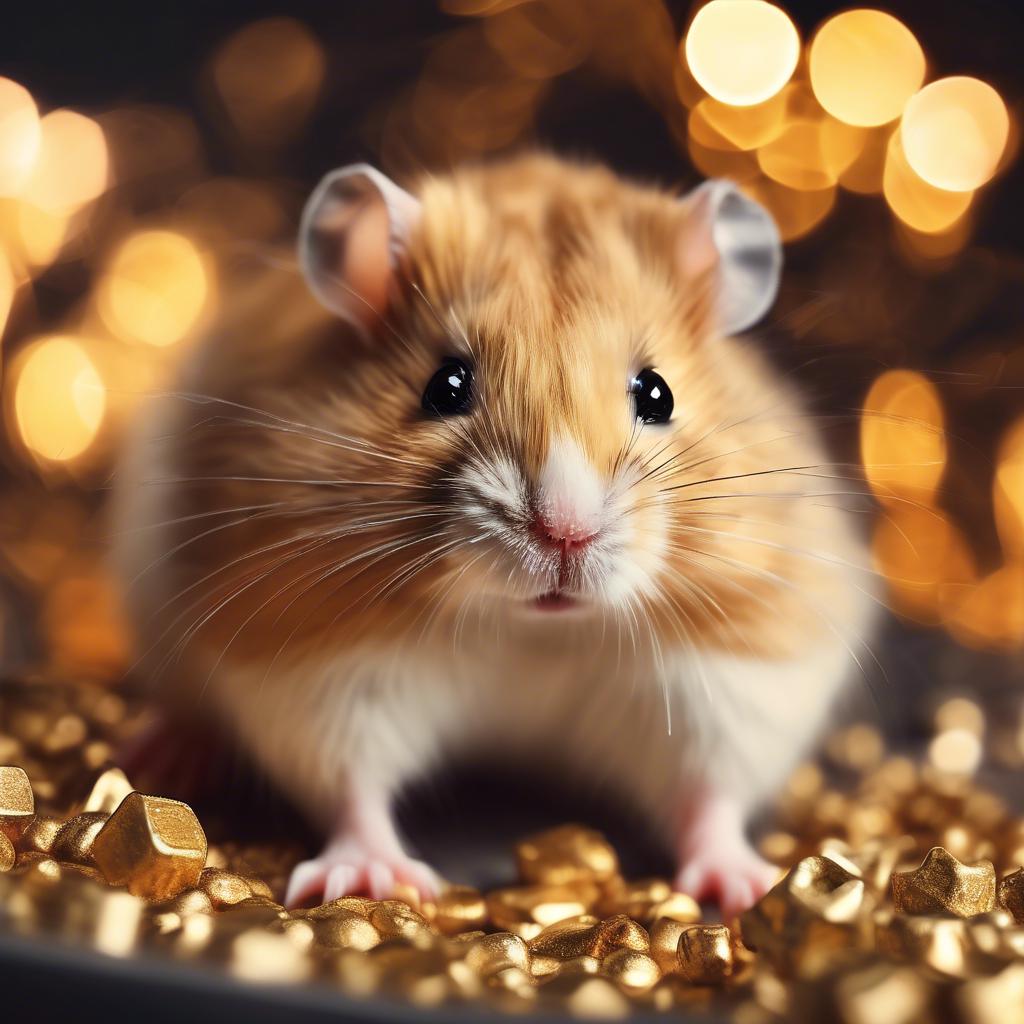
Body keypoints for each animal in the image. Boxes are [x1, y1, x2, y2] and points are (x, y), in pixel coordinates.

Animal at [112, 154, 876, 918]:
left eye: (657, 393)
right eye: (445, 387)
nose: (565, 533)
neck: (533, 630)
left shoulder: (732, 683)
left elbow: (710, 793)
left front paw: (745, 887)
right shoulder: (318, 674)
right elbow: (352, 786)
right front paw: (369, 880)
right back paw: (159, 753)